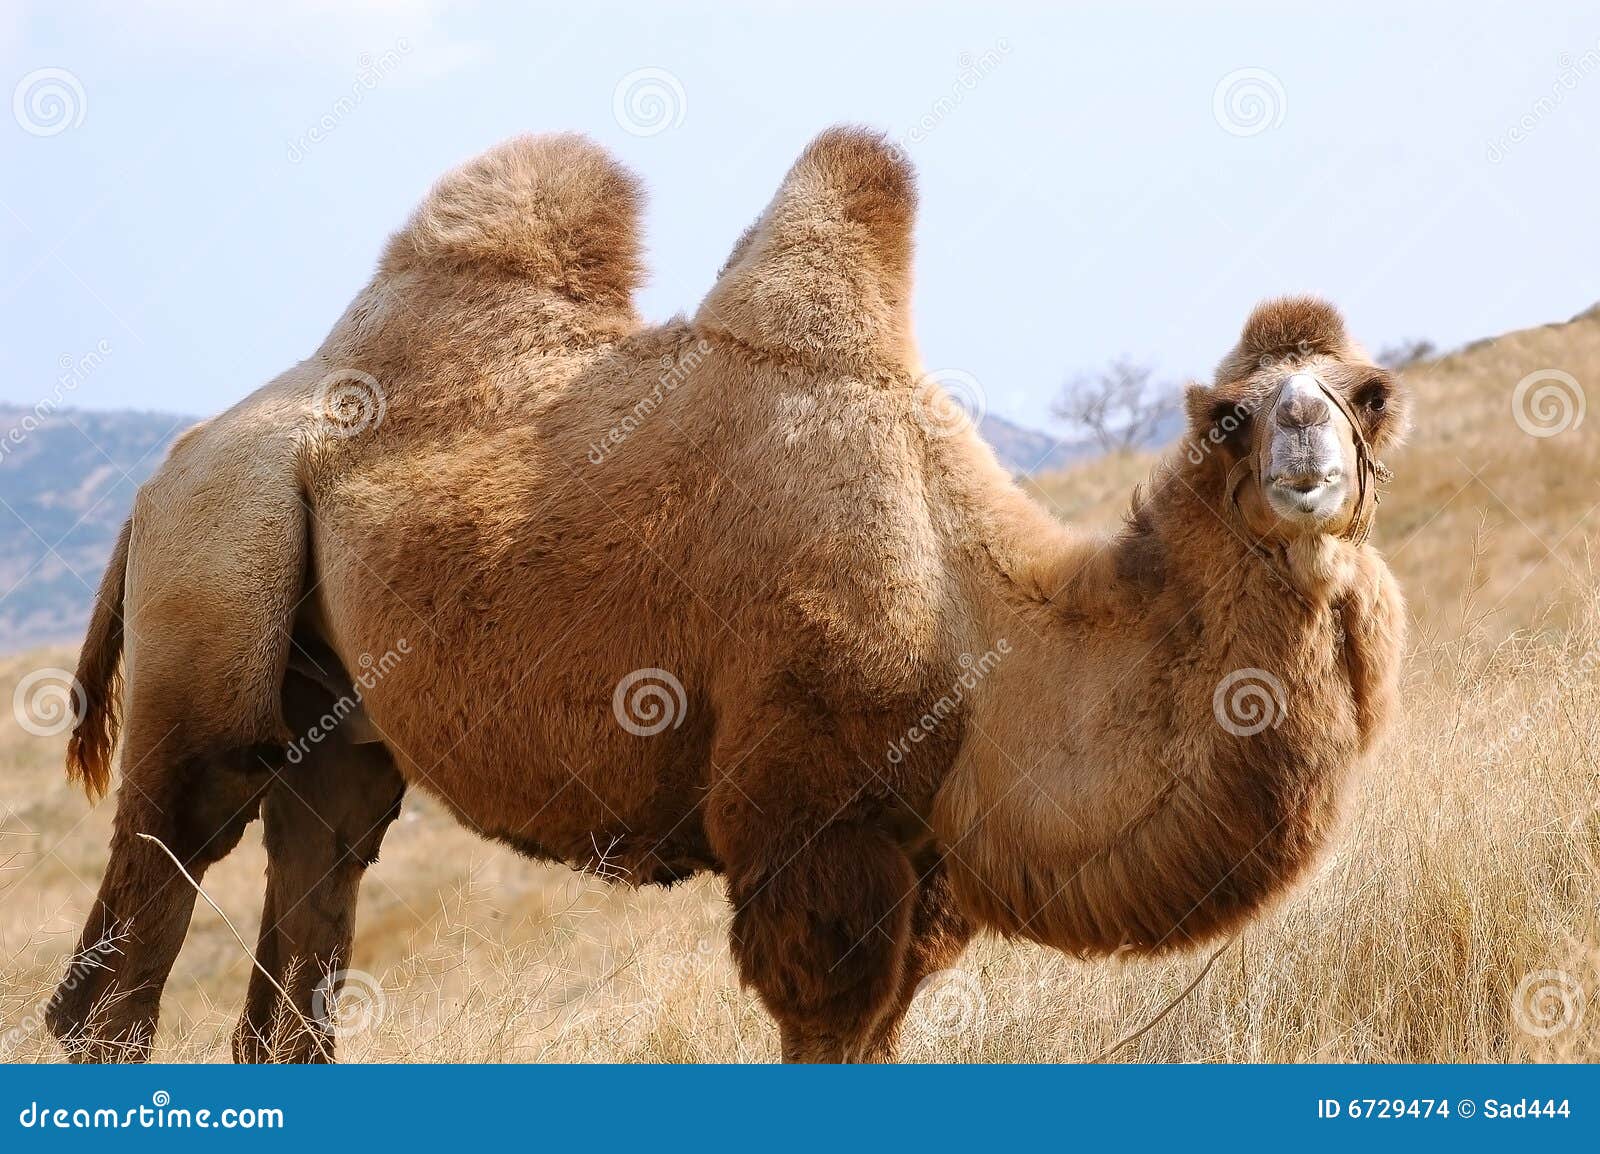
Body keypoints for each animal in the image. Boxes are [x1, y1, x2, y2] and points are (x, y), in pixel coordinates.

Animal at [46, 127, 1409, 1064]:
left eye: (1366, 390)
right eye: (1230, 414)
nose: (1308, 455)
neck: (981, 620)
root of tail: (166, 472)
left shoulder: (921, 860)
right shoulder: (807, 816)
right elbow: (823, 1020)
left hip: (338, 730)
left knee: (307, 916)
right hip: (215, 591)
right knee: (142, 922)